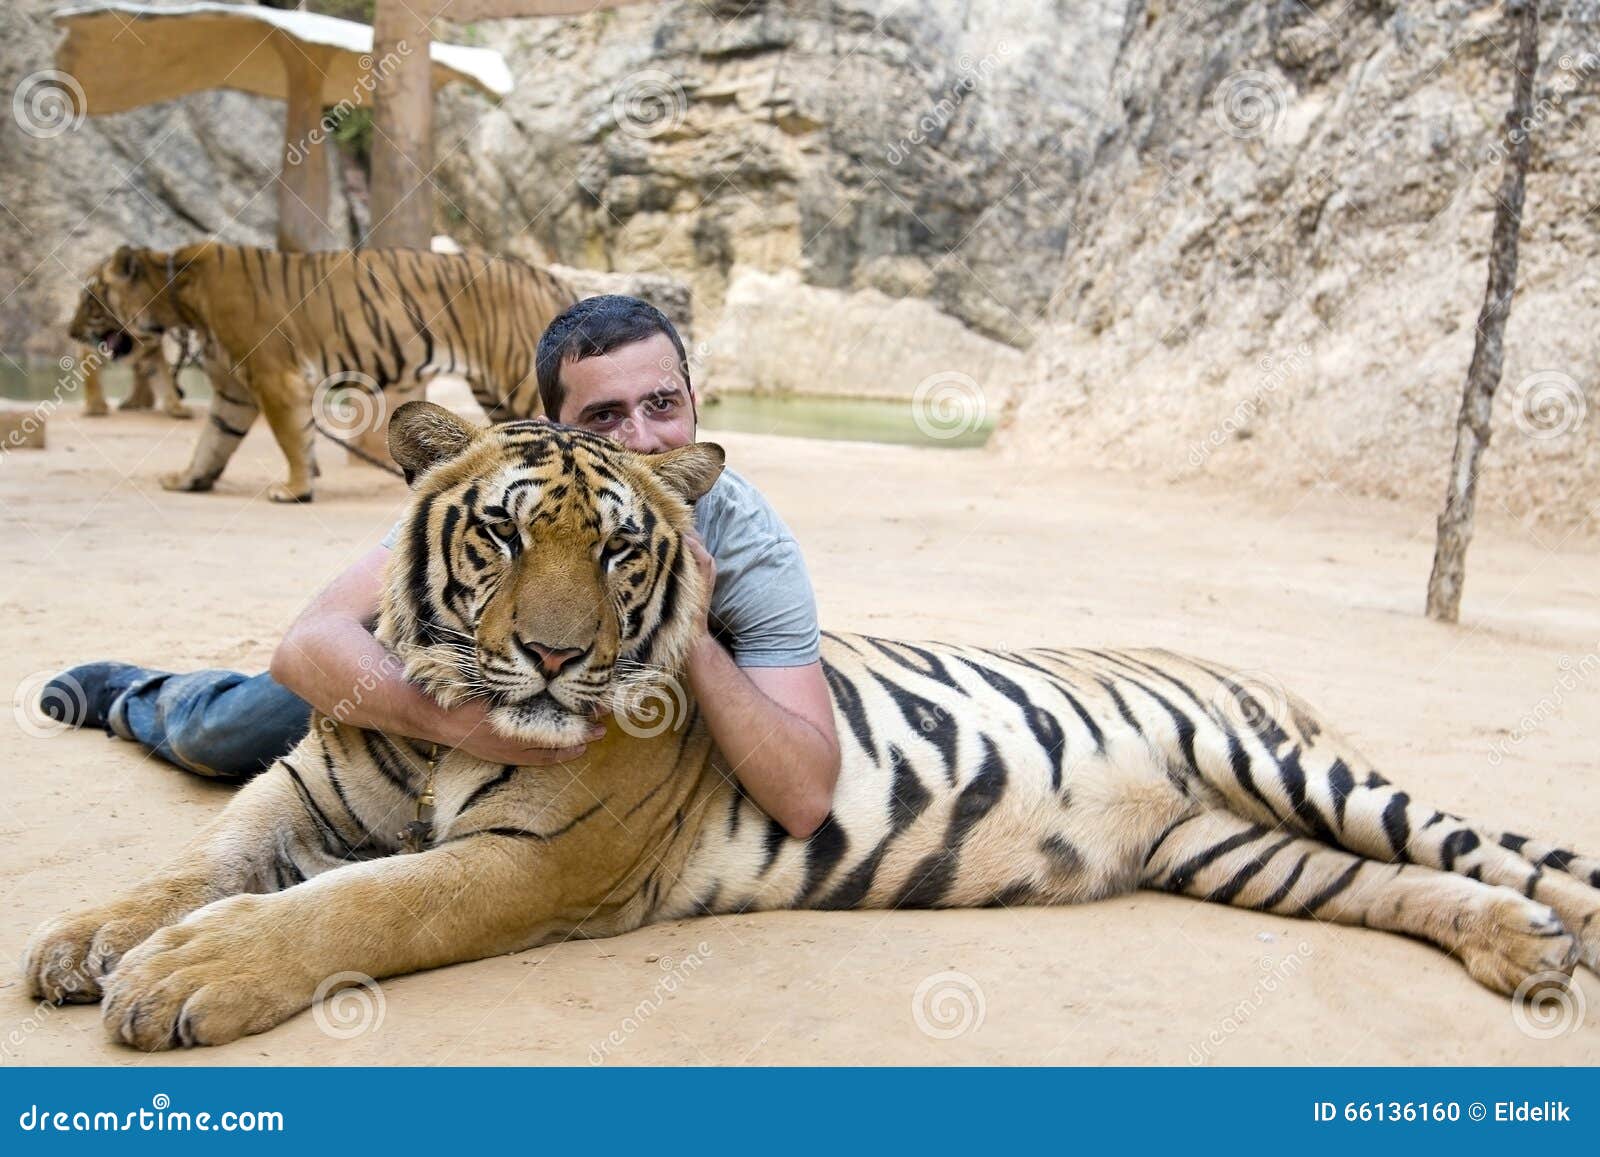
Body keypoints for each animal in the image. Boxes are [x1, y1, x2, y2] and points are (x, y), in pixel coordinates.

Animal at [21, 402, 1599, 1050]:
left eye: (618, 548)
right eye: (508, 533)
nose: (553, 654)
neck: (437, 718)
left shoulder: (539, 858)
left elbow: (363, 906)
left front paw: (189, 977)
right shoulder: (300, 800)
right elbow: (196, 866)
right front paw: (84, 940)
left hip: (1279, 763)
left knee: (1496, 846)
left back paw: (1549, 931)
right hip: (1236, 847)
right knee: (1400, 882)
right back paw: (1518, 951)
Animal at [69, 243, 576, 503]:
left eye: (91, 298)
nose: (70, 332)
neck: (179, 298)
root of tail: (547, 276)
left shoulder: (274, 378)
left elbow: (291, 438)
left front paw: (294, 488)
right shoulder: (233, 392)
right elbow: (213, 440)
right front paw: (191, 480)